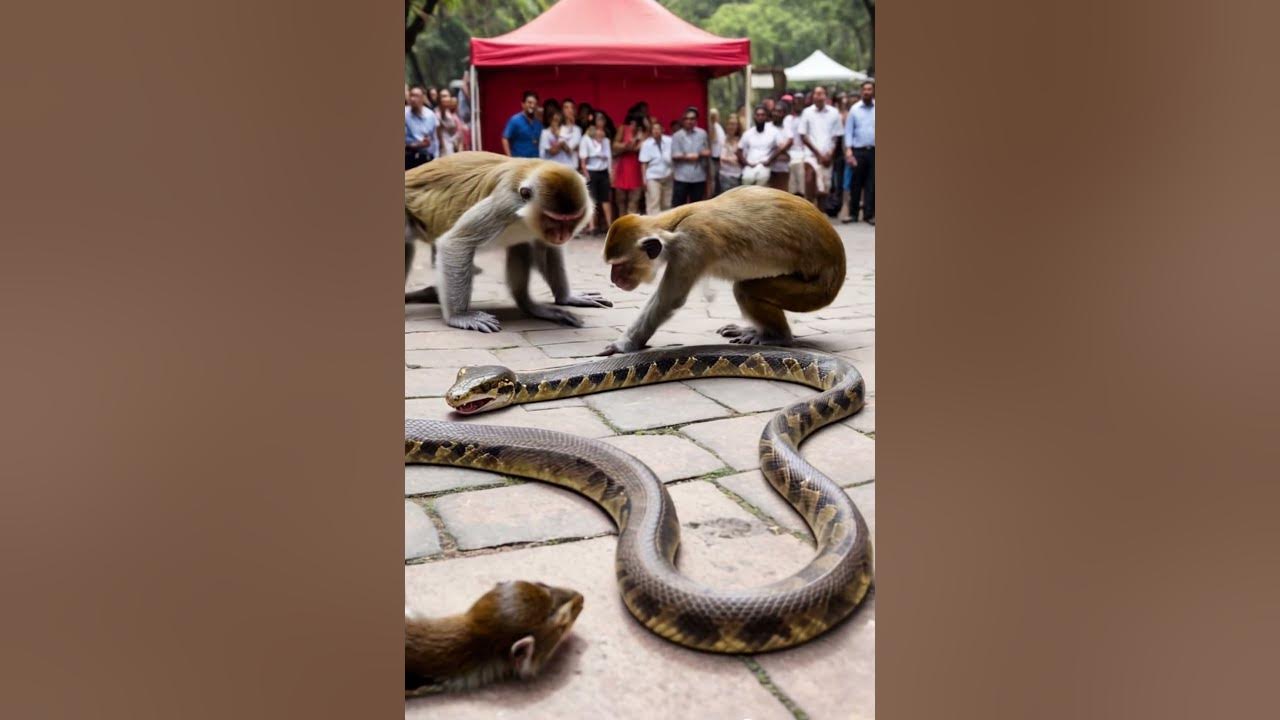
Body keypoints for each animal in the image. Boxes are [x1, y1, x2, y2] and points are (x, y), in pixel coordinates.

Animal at [404, 151, 612, 332]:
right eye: (555, 220)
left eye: (570, 220)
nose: (563, 236)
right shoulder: (504, 205)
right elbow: (456, 243)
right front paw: (460, 316)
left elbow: (546, 249)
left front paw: (566, 297)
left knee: (521, 246)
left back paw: (528, 305)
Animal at [599, 185, 846, 355]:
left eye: (618, 266)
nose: (613, 279)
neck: (673, 227)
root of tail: (839, 262)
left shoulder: (692, 246)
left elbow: (668, 301)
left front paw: (624, 345)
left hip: (816, 292)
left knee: (745, 289)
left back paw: (778, 337)